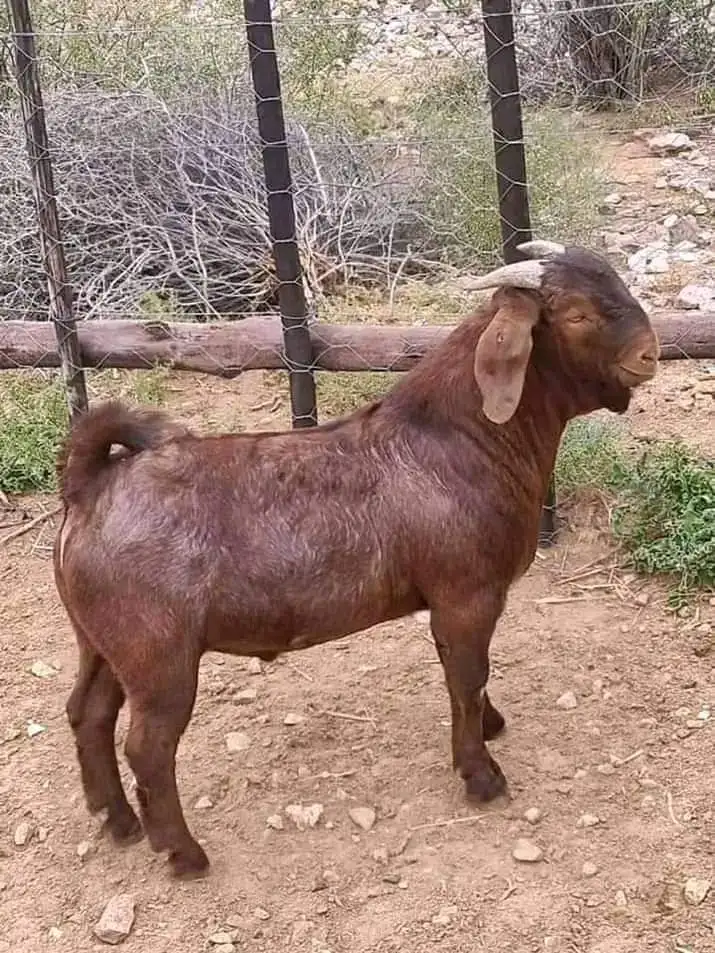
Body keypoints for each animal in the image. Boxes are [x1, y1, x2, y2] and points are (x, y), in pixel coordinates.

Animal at [53, 241, 659, 878]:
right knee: (148, 746)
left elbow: (468, 677)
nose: (649, 354)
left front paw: (491, 727)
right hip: (158, 656)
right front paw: (481, 776)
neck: (458, 439)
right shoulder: (465, 594)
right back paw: (184, 852)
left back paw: (117, 820)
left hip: (102, 642)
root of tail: (89, 485)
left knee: (87, 713)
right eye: (577, 315)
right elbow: (468, 676)